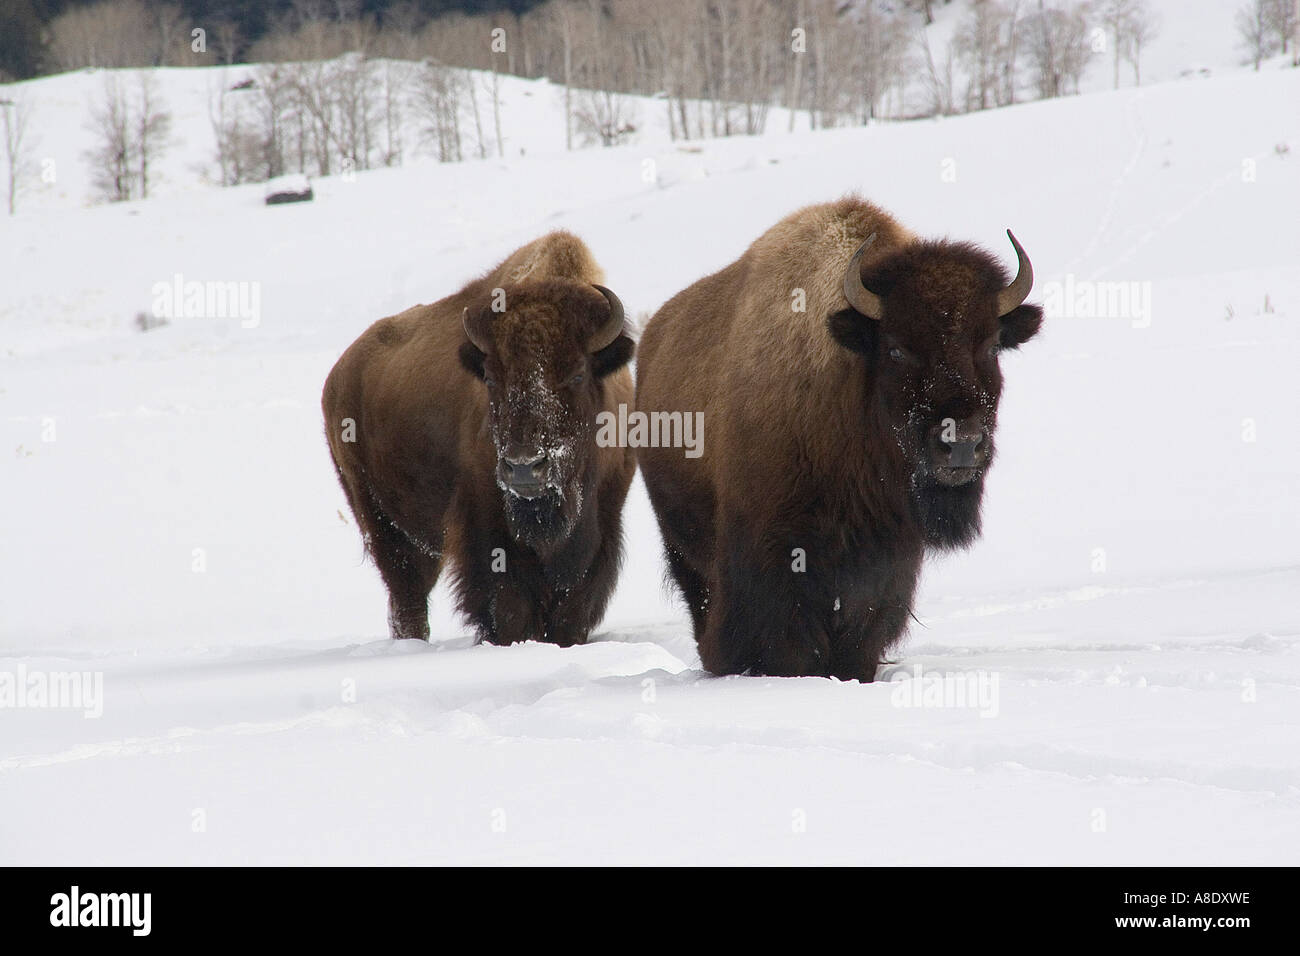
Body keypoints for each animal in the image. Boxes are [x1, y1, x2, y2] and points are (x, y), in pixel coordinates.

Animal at [322, 231, 636, 645]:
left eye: (577, 374)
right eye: (490, 377)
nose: (525, 468)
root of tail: (338, 375)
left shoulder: (603, 523)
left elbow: (573, 607)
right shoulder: (484, 527)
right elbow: (508, 606)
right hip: (380, 521)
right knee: (407, 595)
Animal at [636, 196, 1042, 680]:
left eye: (991, 345)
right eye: (896, 348)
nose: (961, 442)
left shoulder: (889, 561)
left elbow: (862, 631)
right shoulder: (774, 553)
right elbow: (786, 637)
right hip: (683, 547)